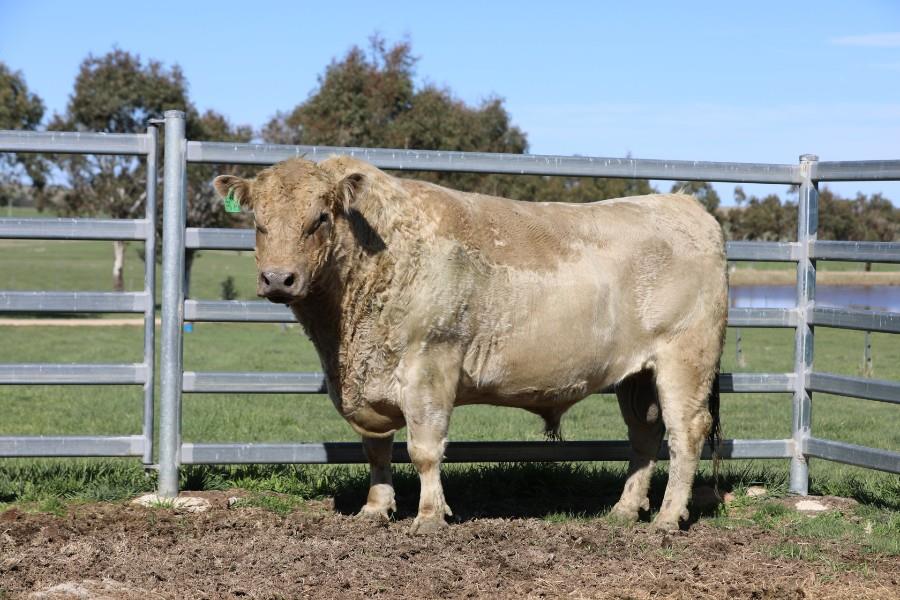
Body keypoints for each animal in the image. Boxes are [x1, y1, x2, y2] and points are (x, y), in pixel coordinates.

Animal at [213, 156, 728, 533]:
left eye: (320, 218)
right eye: (258, 222)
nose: (278, 278)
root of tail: (686, 206)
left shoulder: (430, 364)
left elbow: (424, 448)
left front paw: (428, 517)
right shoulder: (366, 381)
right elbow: (376, 450)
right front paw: (375, 509)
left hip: (685, 360)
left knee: (685, 434)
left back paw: (666, 518)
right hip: (637, 375)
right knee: (644, 436)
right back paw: (624, 511)